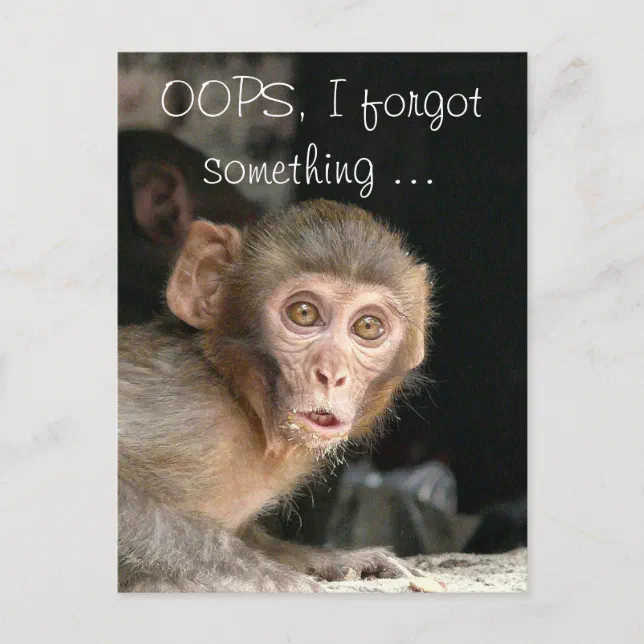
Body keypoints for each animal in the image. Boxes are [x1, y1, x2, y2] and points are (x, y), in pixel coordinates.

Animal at [118, 199, 435, 592]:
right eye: (304, 313)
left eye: (367, 326)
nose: (332, 373)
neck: (242, 402)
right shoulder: (190, 413)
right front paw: (268, 578)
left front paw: (335, 560)